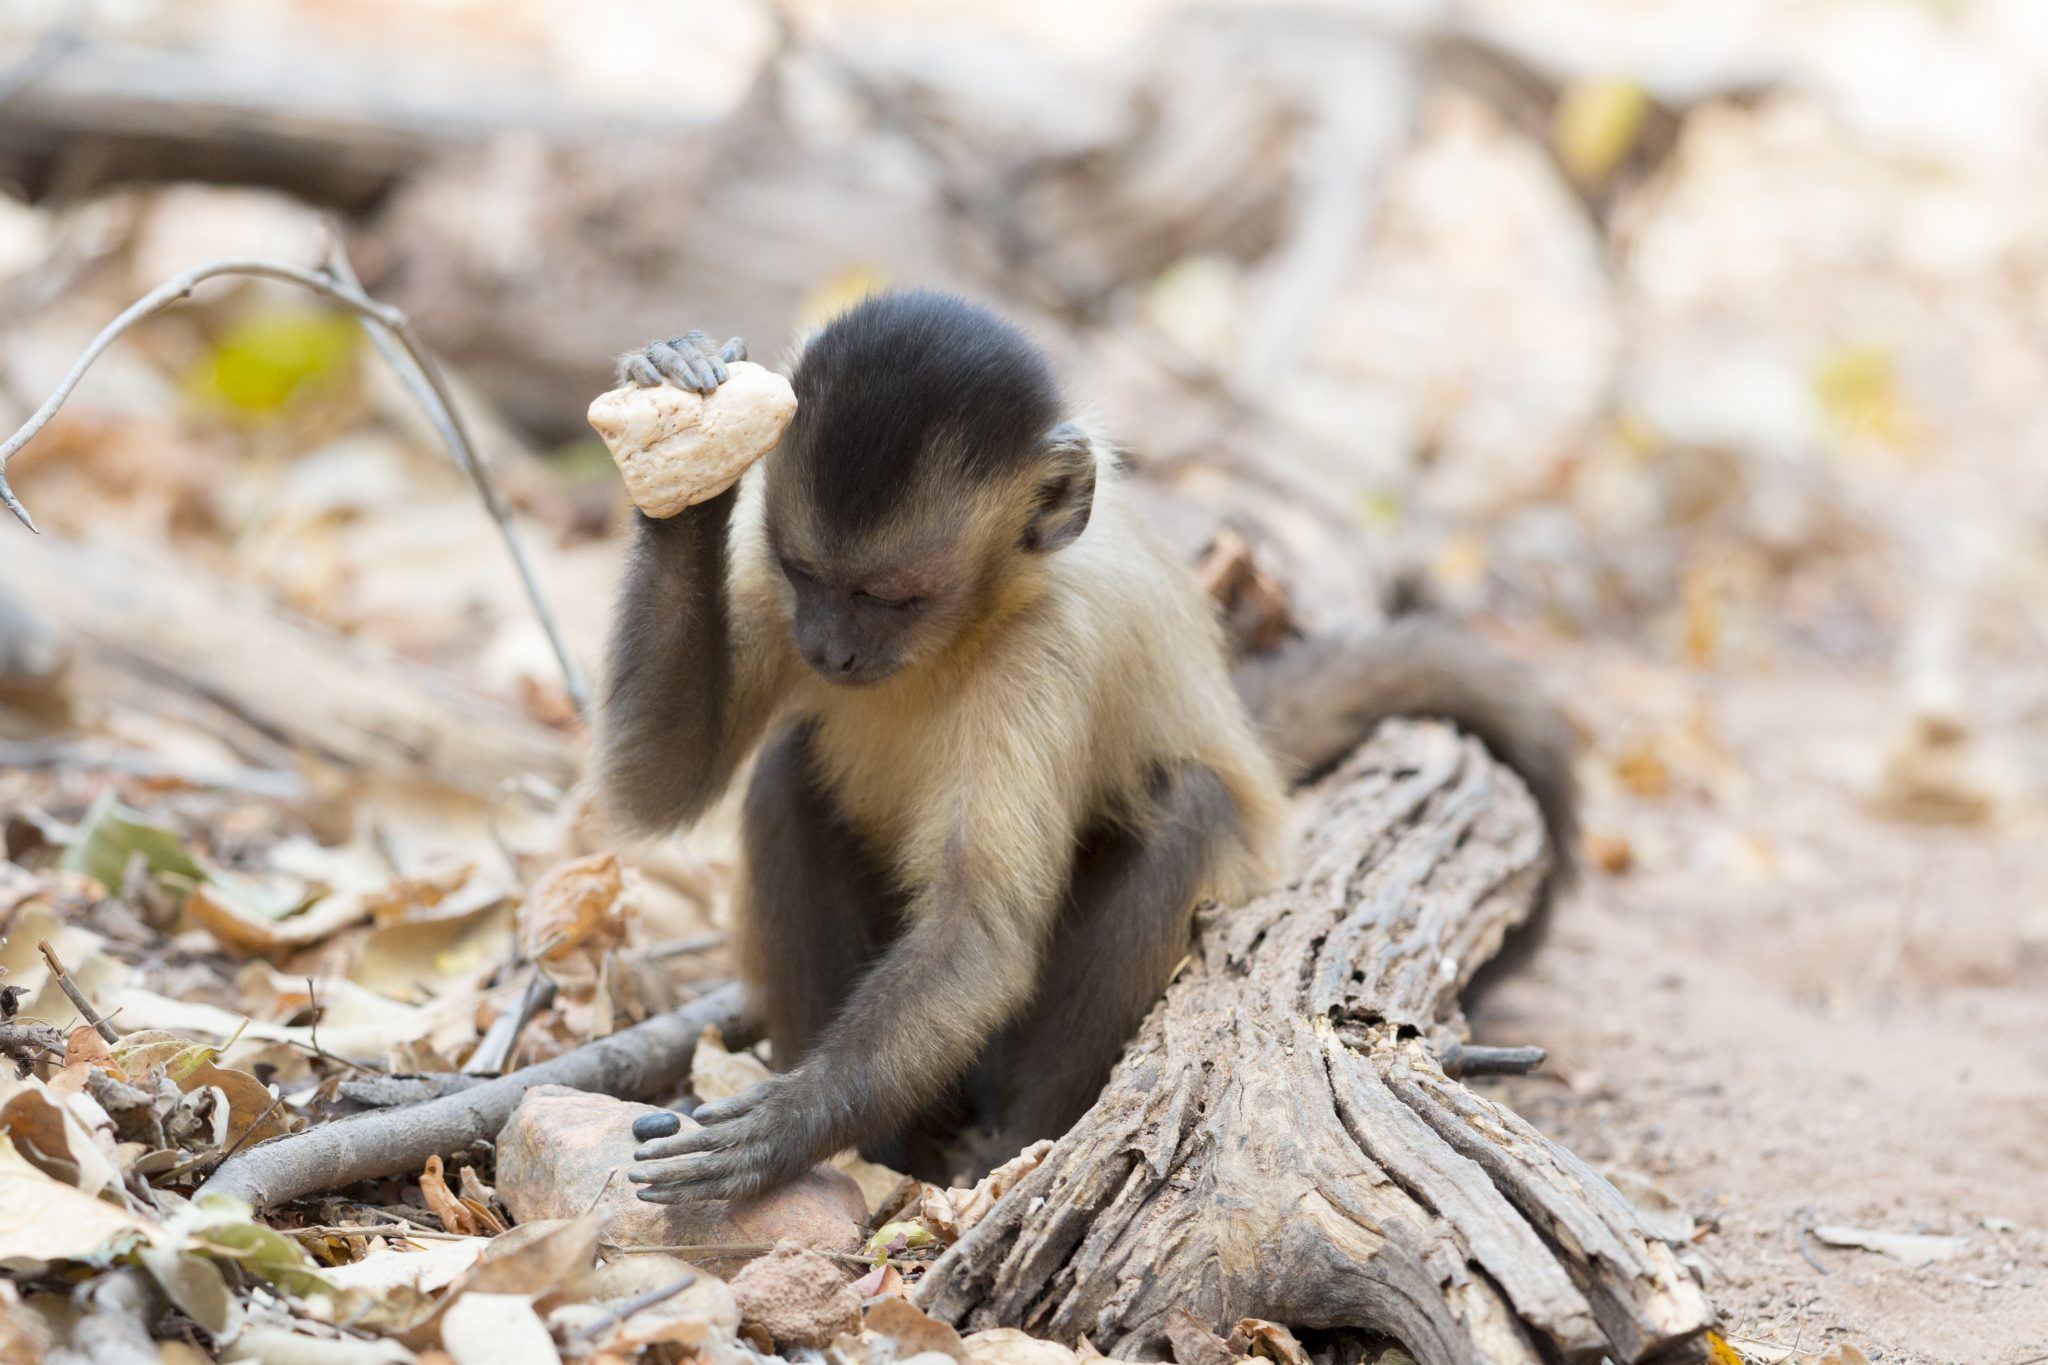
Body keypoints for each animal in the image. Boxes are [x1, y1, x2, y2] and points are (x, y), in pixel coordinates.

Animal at [598, 291, 1576, 1203]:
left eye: (893, 598)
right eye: (808, 575)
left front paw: (786, 1126)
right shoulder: (774, 592)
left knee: (1187, 806)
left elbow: (980, 935)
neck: (972, 624)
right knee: (785, 776)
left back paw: (1008, 1145)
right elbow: (659, 783)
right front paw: (684, 435)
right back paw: (888, 1151)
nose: (828, 650)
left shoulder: (1046, 649)